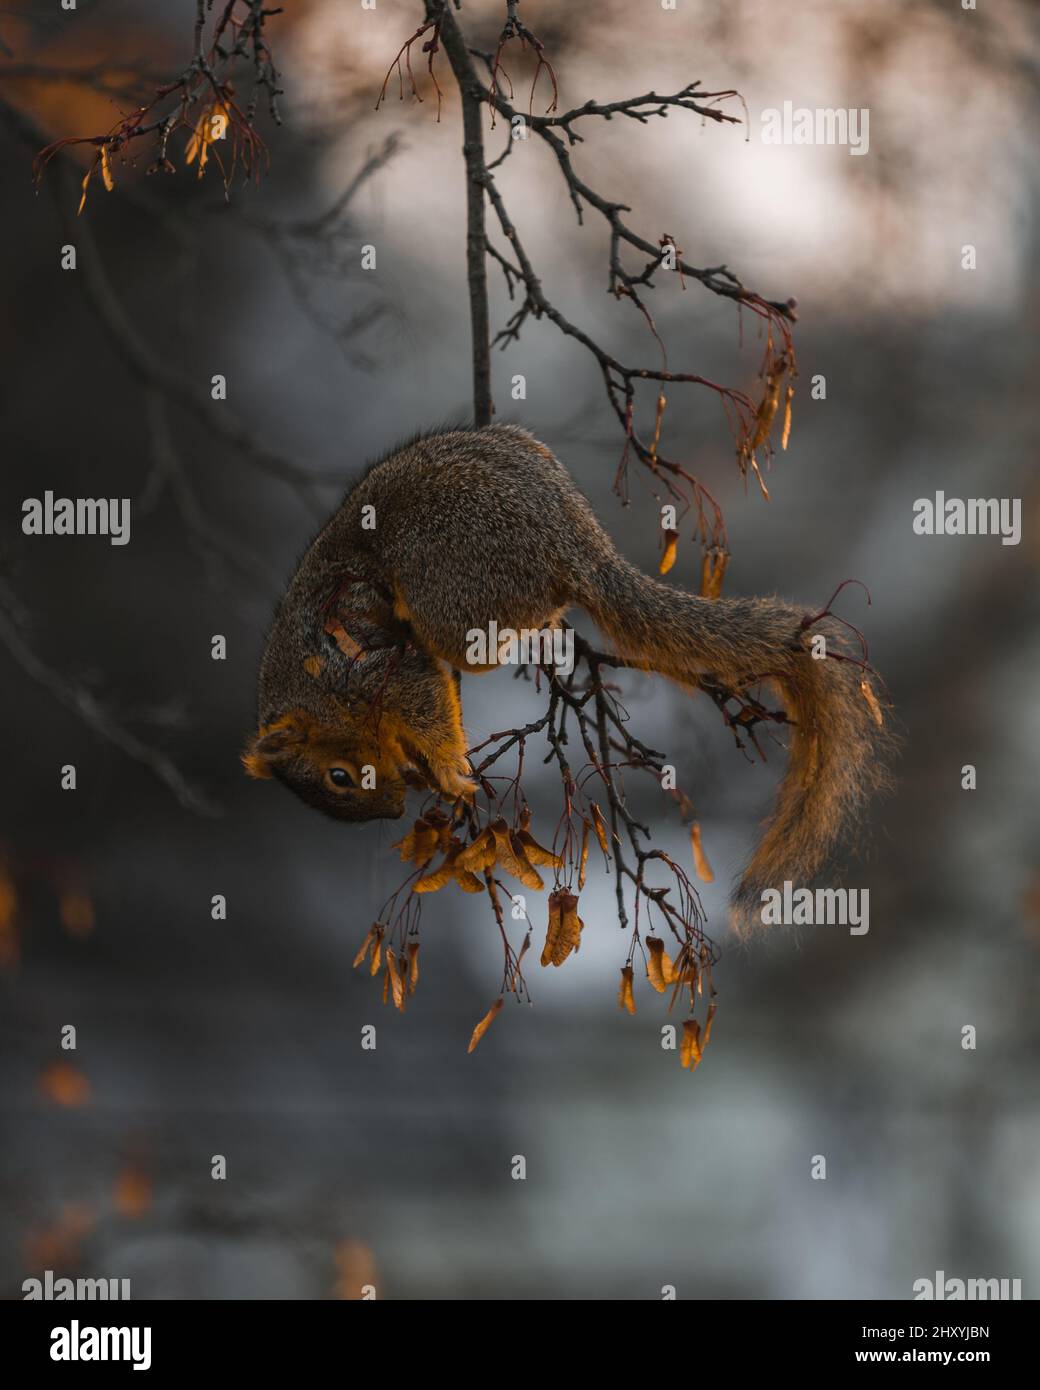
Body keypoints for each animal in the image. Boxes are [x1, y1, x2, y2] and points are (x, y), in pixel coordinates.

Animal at [244, 424, 890, 929]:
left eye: (338, 777)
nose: (397, 809)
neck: (311, 690)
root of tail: (569, 538)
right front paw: (427, 771)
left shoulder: (371, 667)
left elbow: (423, 696)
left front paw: (448, 772)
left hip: (450, 591)